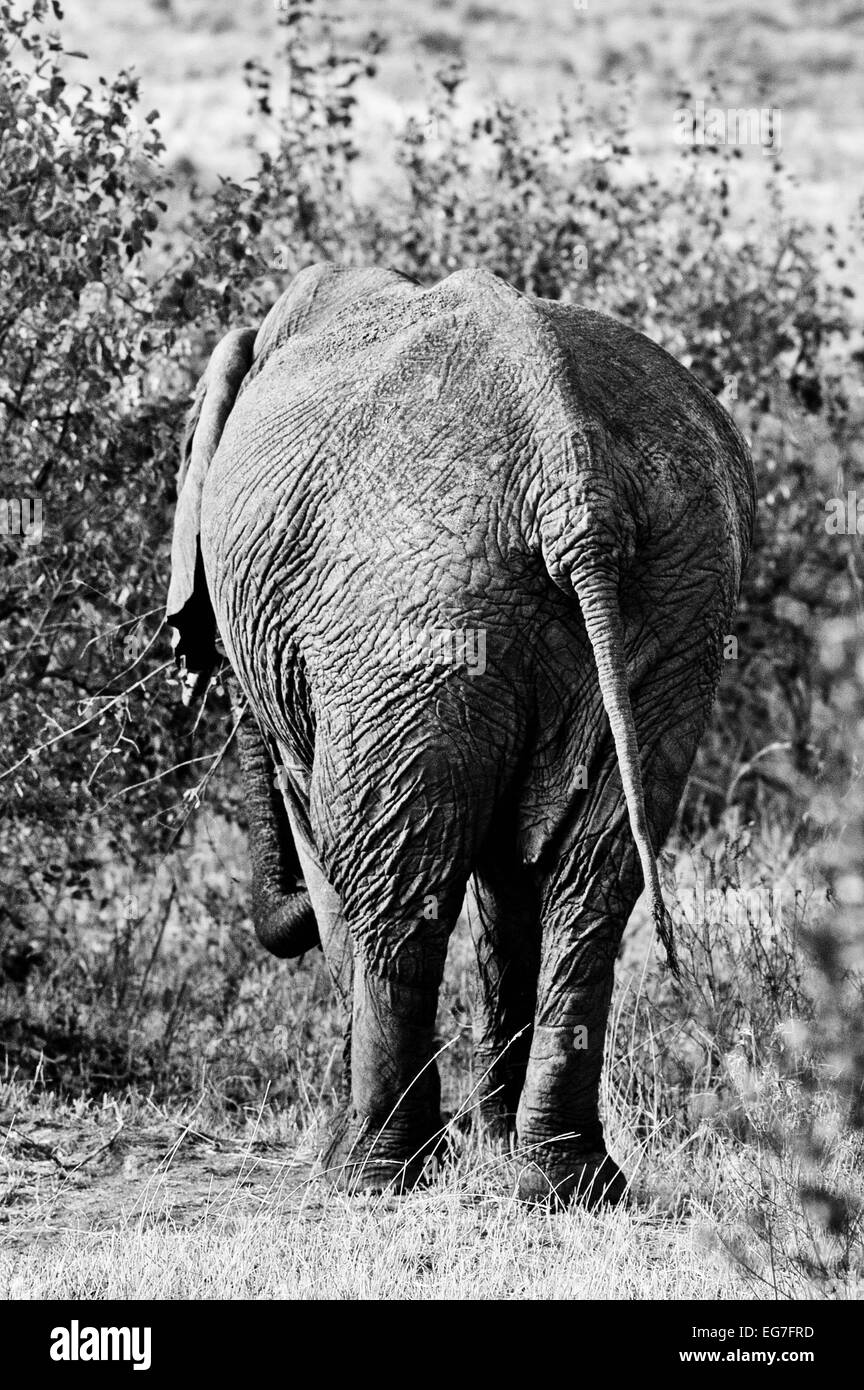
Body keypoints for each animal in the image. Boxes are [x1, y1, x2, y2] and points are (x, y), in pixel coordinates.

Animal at [166, 263, 755, 1205]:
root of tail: (573, 473)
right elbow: (513, 874)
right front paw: (490, 1142)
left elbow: (337, 847)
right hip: (679, 600)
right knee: (591, 883)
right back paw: (565, 1181)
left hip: (413, 613)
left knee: (394, 882)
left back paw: (366, 1170)